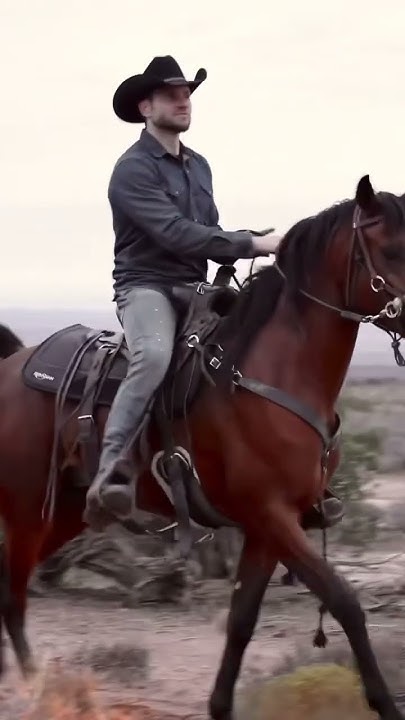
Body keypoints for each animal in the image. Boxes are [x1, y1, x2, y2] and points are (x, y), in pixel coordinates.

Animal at [1, 174, 405, 720]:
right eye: (391, 249)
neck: (274, 371)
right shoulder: (272, 513)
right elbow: (345, 602)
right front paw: (384, 702)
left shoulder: (269, 527)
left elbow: (241, 621)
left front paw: (219, 706)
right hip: (26, 511)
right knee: (13, 598)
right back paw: (36, 691)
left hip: (62, 512)